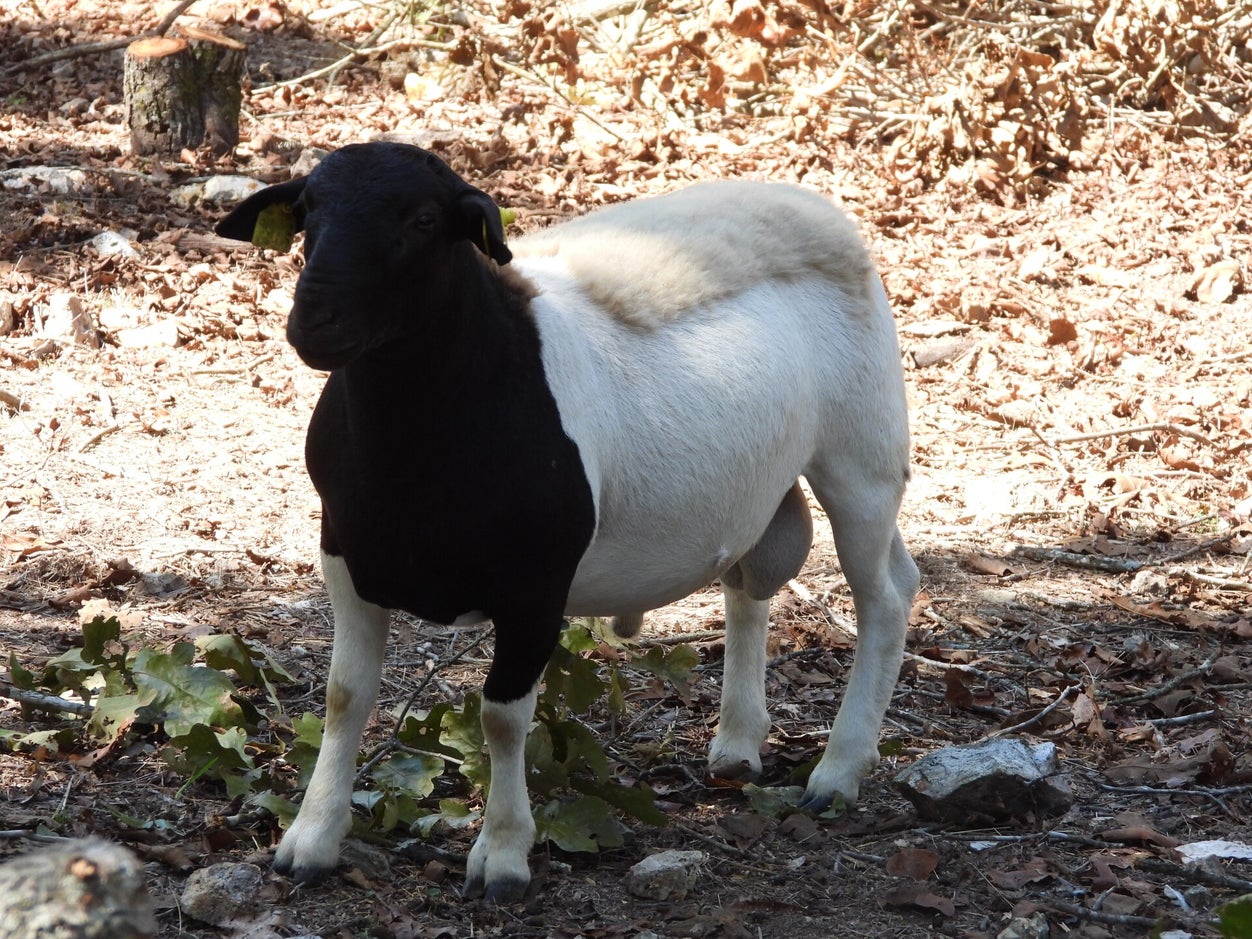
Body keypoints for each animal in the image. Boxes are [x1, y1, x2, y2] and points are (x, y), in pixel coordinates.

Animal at [214, 141, 920, 904]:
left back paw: (838, 772)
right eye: (309, 213)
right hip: (757, 483)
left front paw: (501, 855)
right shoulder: (345, 550)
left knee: (886, 597)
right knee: (749, 585)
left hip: (863, 456)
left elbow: (501, 717)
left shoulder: (536, 581)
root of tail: (809, 204)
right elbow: (345, 696)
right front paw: (310, 841)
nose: (317, 321)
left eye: (424, 219)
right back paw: (737, 744)